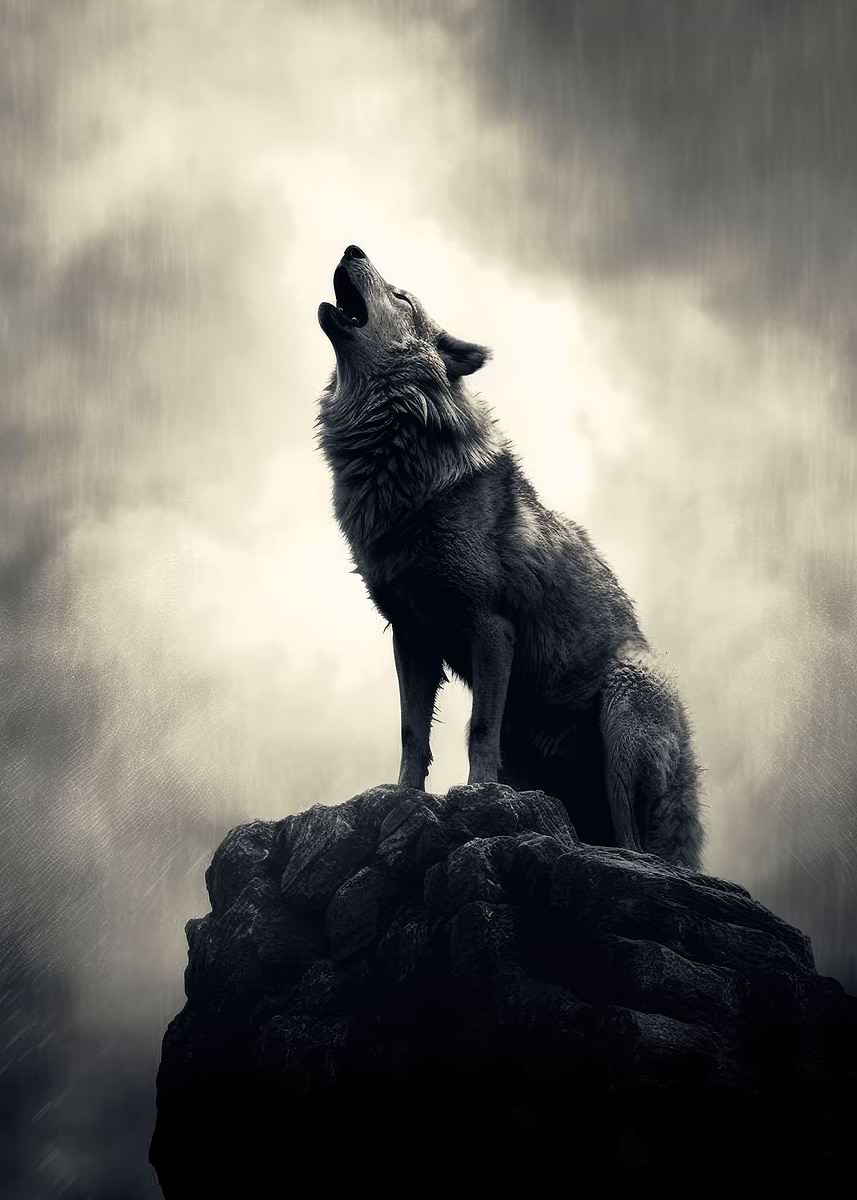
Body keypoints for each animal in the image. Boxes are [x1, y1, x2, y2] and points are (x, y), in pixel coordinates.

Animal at [317, 245, 703, 868]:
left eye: (400, 296)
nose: (352, 247)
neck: (398, 460)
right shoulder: (410, 636)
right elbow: (412, 733)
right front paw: (399, 798)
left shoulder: (491, 626)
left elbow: (477, 729)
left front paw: (474, 796)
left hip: (623, 703)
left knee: (636, 842)